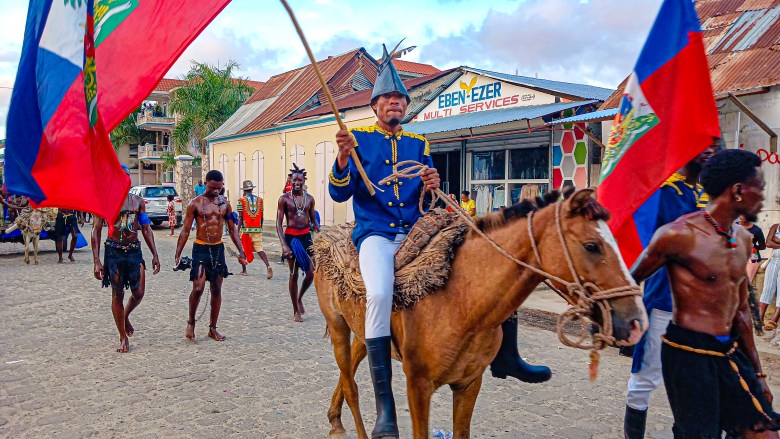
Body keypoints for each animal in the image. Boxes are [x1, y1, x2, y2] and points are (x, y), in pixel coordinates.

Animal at [314, 190, 648, 439]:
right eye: (592, 245)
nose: (635, 322)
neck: (461, 300)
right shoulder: (418, 386)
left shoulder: (469, 383)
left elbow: (462, 431)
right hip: (339, 326)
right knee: (352, 385)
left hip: (364, 328)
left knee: (353, 367)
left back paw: (334, 418)